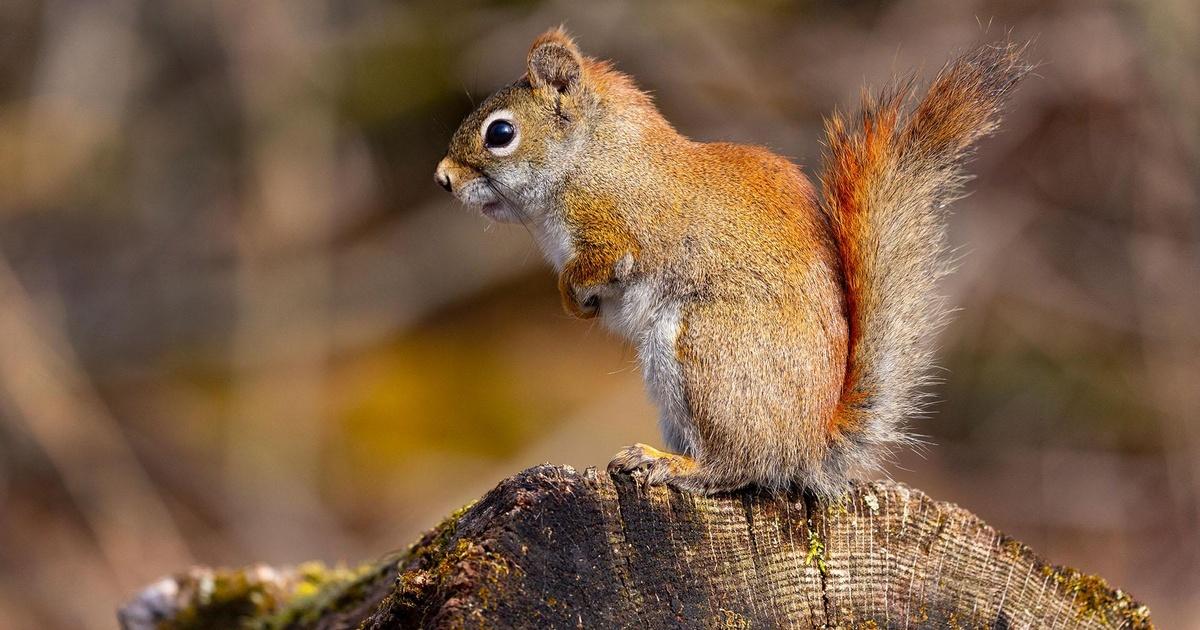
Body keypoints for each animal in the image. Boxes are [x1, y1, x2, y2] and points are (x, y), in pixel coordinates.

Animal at [435, 28, 1029, 496]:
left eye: (501, 133)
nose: (442, 178)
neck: (591, 156)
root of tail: (809, 442)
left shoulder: (616, 226)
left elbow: (601, 263)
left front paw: (571, 296)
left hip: (705, 353)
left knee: (738, 467)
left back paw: (672, 465)